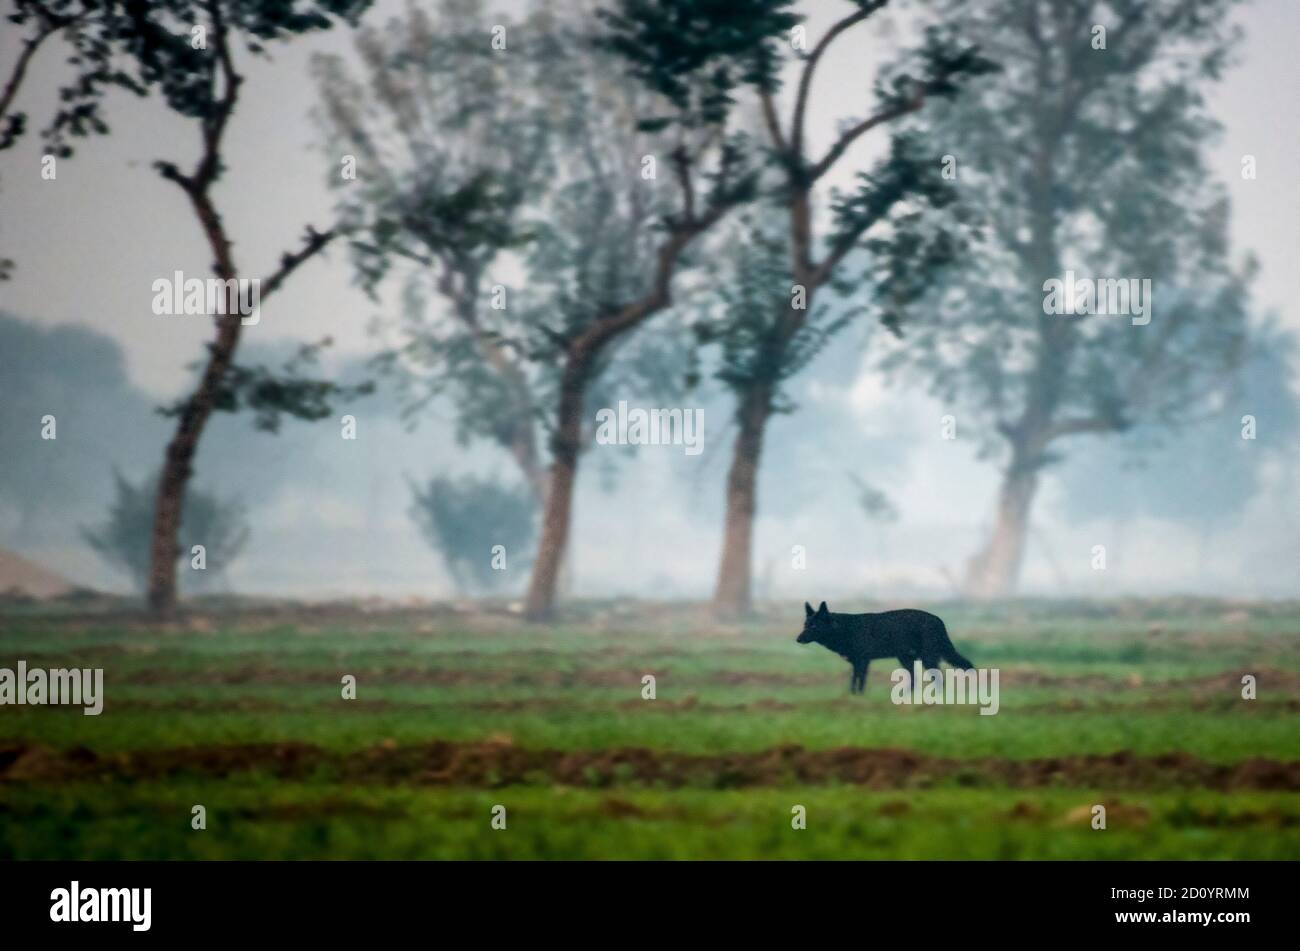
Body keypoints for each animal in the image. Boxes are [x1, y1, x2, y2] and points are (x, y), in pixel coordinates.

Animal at [796, 601, 974, 694]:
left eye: (813, 626)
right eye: (805, 625)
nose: (797, 639)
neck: (845, 629)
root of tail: (938, 620)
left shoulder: (863, 661)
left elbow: (860, 680)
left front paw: (859, 697)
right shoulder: (857, 662)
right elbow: (854, 680)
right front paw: (854, 696)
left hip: (927, 659)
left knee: (939, 677)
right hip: (906, 659)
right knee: (916, 679)